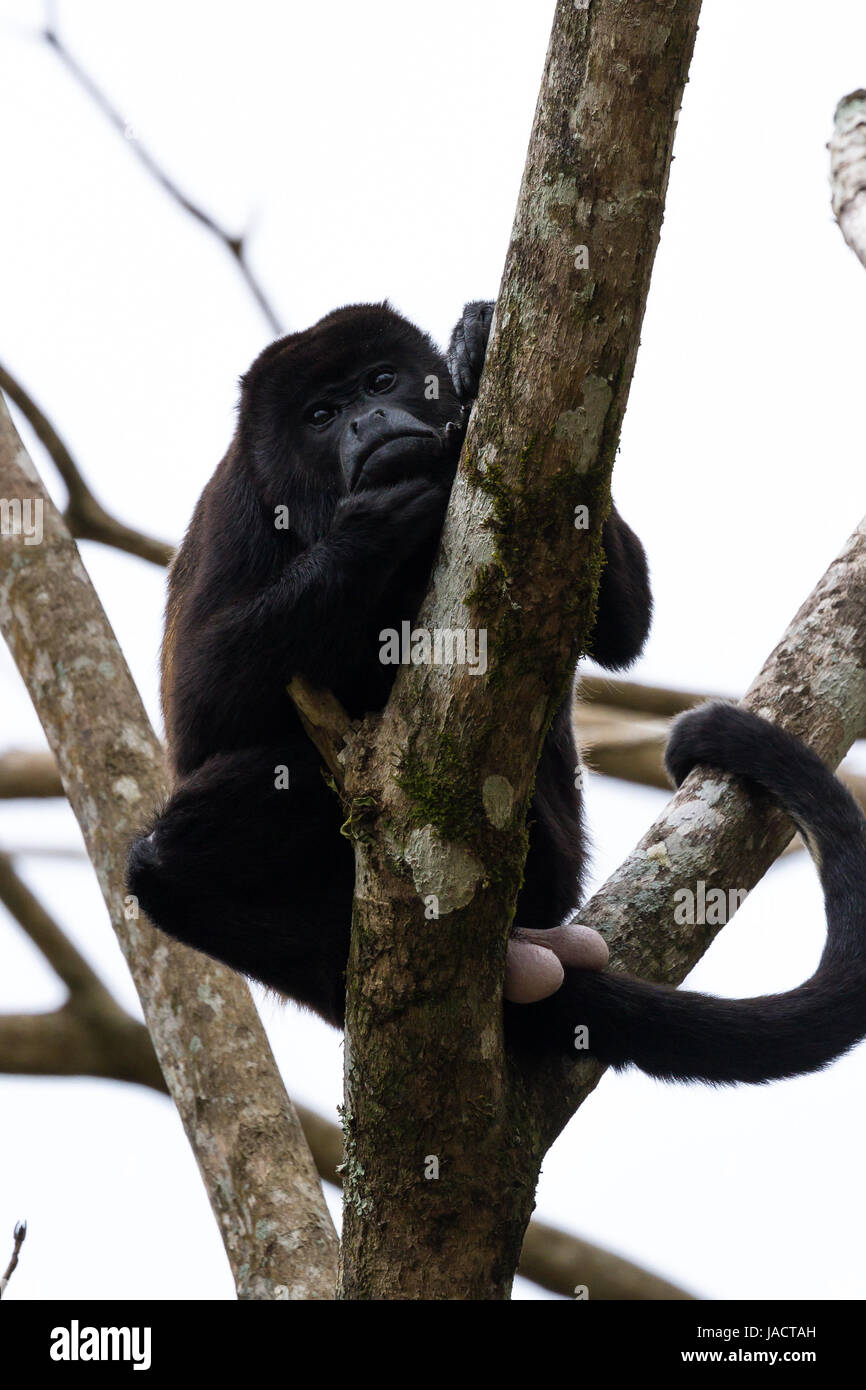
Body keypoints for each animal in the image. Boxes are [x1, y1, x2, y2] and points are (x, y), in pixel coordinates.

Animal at [127, 300, 866, 1085]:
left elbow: (621, 623)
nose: (367, 419)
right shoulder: (234, 512)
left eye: (380, 380)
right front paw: (373, 525)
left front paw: (477, 350)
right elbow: (202, 705)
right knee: (179, 849)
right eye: (321, 415)